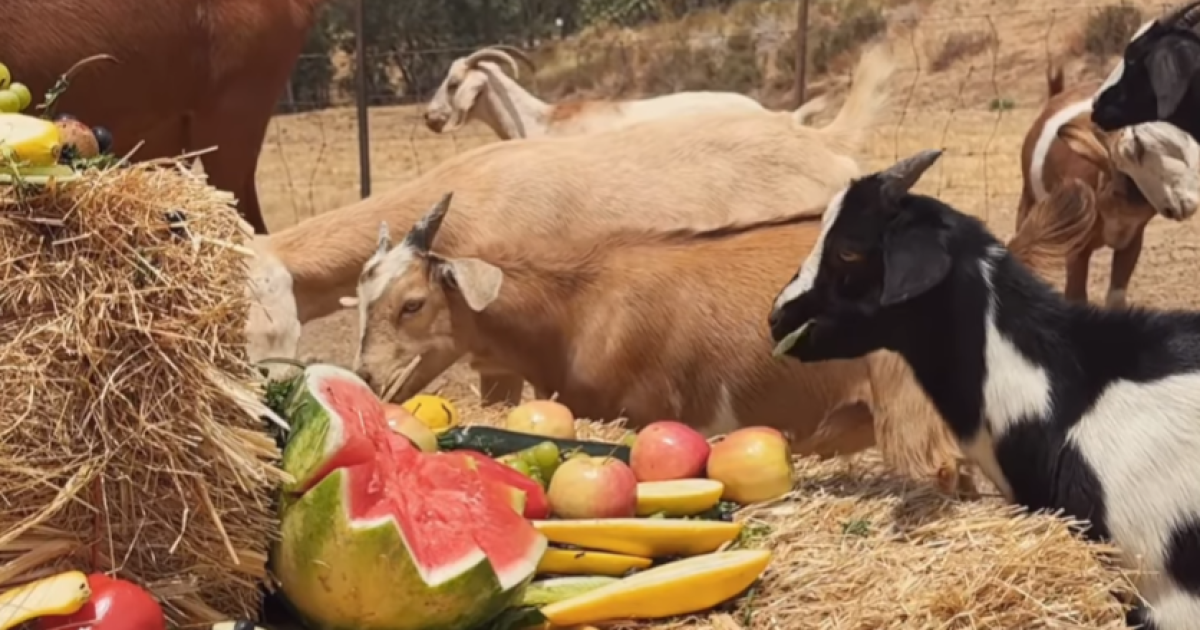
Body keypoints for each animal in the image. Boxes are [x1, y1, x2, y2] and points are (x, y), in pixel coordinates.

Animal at [352, 192, 975, 496]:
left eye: (412, 304)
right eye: (361, 300)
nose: (366, 377)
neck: (577, 307)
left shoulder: (645, 409)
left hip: (910, 408)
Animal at [1019, 67, 1200, 308]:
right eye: (1134, 152)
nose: (1184, 206)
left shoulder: (1131, 241)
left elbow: (1116, 297)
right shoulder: (1077, 249)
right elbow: (1076, 297)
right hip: (1028, 202)